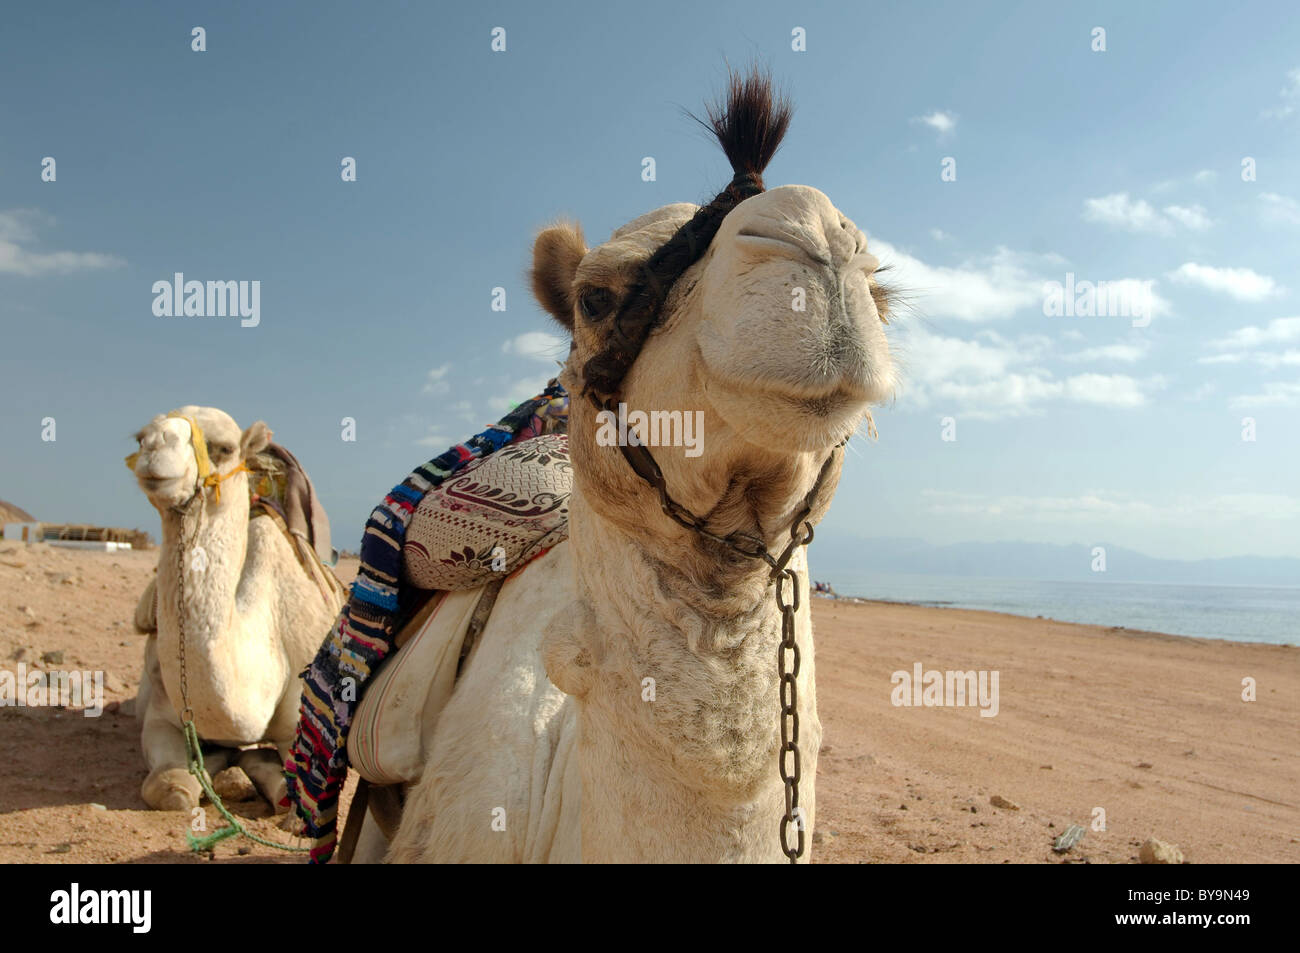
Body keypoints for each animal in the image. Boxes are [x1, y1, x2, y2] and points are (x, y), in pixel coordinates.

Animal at [127, 407, 344, 811]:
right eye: (139, 438)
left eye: (225, 448)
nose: (155, 445)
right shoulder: (162, 717)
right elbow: (167, 788)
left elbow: (292, 788)